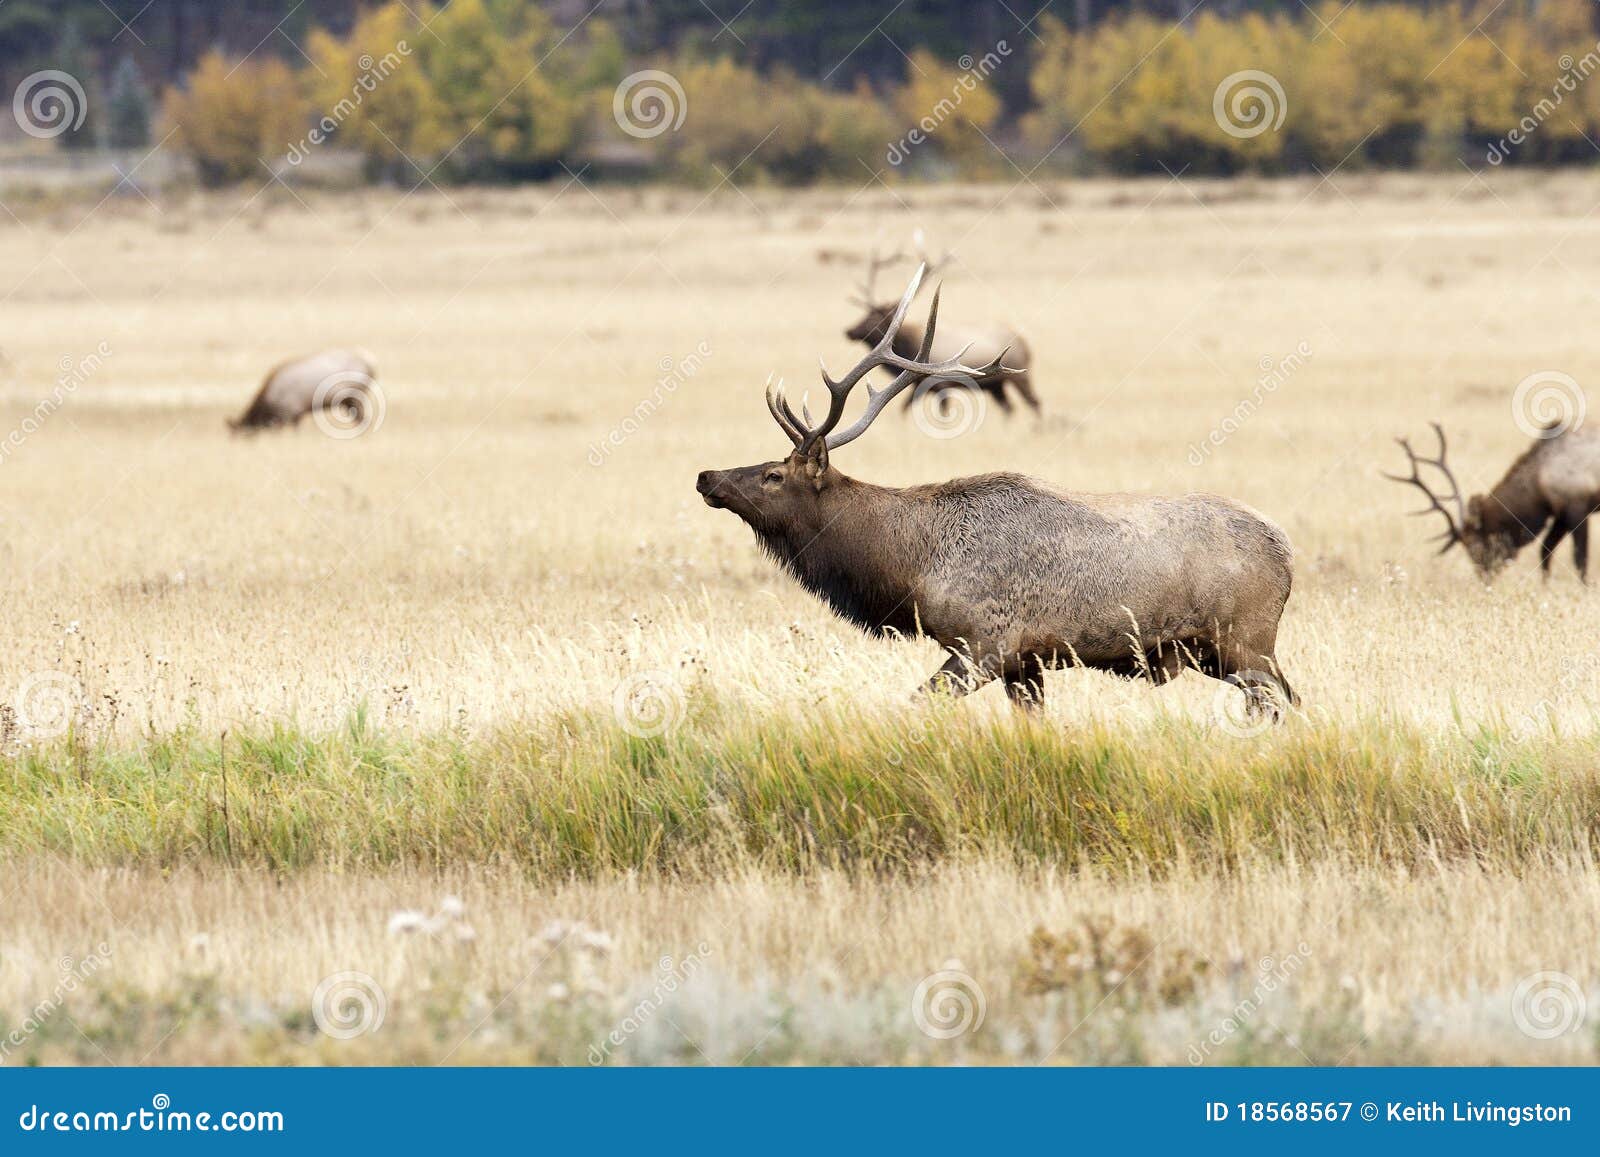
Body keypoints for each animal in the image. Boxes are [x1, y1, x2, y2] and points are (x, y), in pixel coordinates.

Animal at [228, 348, 378, 432]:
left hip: (354, 397)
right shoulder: (295, 415)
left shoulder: (289, 414)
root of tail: (369, 366)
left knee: (362, 417)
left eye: (240, 433)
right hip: (348, 401)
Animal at [698, 265, 1298, 718]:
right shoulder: (1025, 664)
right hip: (1219, 652)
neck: (910, 568)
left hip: (1247, 640)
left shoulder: (984, 644)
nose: (707, 477)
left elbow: (918, 704)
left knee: (1282, 703)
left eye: (774, 474)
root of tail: (1286, 549)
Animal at [844, 246, 1039, 417]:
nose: (849, 331)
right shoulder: (919, 385)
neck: (909, 348)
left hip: (1020, 377)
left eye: (873, 320)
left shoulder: (941, 385)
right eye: (865, 315)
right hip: (996, 386)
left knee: (1035, 403)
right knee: (1009, 408)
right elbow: (905, 408)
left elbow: (940, 413)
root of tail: (1026, 345)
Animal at [1385, 421, 1600, 582]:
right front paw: (1545, 588)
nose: (1484, 579)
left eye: (1474, 546)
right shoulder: (1559, 512)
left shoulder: (1576, 505)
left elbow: (1580, 558)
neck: (1539, 485)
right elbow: (1545, 551)